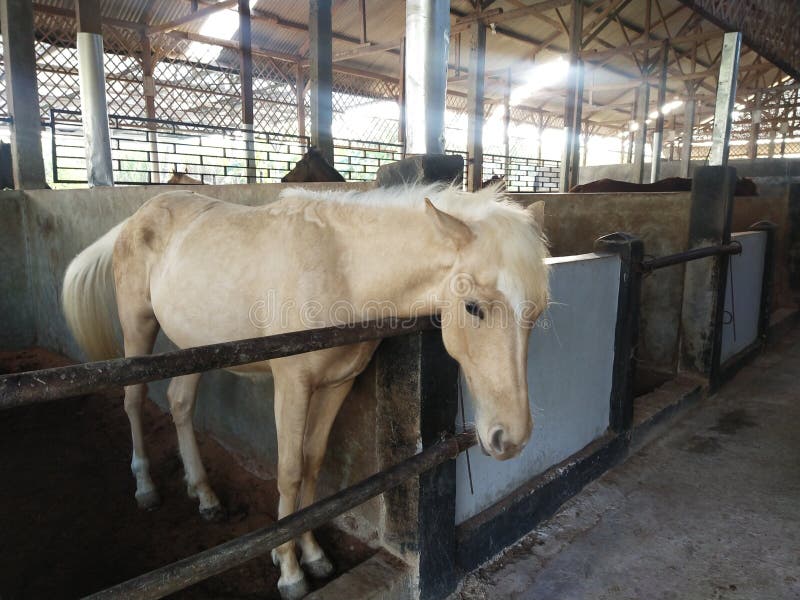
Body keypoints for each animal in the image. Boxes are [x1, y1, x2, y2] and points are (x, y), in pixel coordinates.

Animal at [61, 183, 549, 599]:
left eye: (538, 312)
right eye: (473, 307)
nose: (511, 438)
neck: (342, 269)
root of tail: (137, 216)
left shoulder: (337, 385)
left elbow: (314, 464)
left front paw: (313, 555)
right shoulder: (292, 385)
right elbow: (290, 471)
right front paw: (289, 569)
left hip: (193, 347)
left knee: (181, 404)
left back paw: (205, 496)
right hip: (138, 328)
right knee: (133, 401)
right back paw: (145, 486)